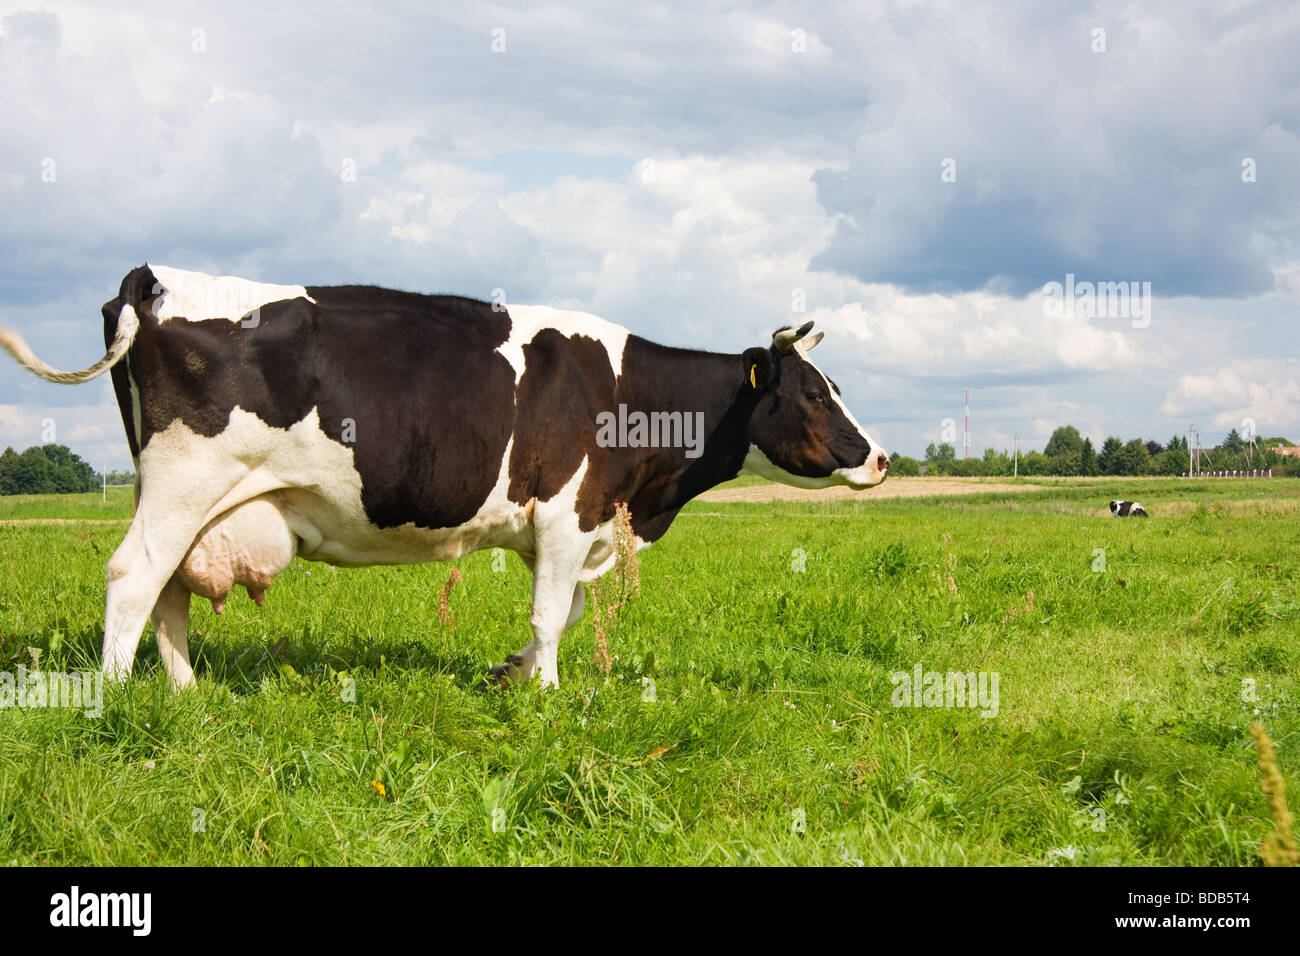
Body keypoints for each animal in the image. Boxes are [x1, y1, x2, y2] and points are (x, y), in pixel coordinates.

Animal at [1, 265, 889, 690]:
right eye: (815, 393)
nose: (879, 457)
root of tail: (153, 278)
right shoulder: (568, 513)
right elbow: (550, 617)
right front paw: (548, 695)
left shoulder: (567, 526)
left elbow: (563, 614)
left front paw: (512, 674)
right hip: (186, 481)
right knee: (133, 575)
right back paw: (120, 696)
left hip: (184, 496)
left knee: (169, 587)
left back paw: (185, 692)